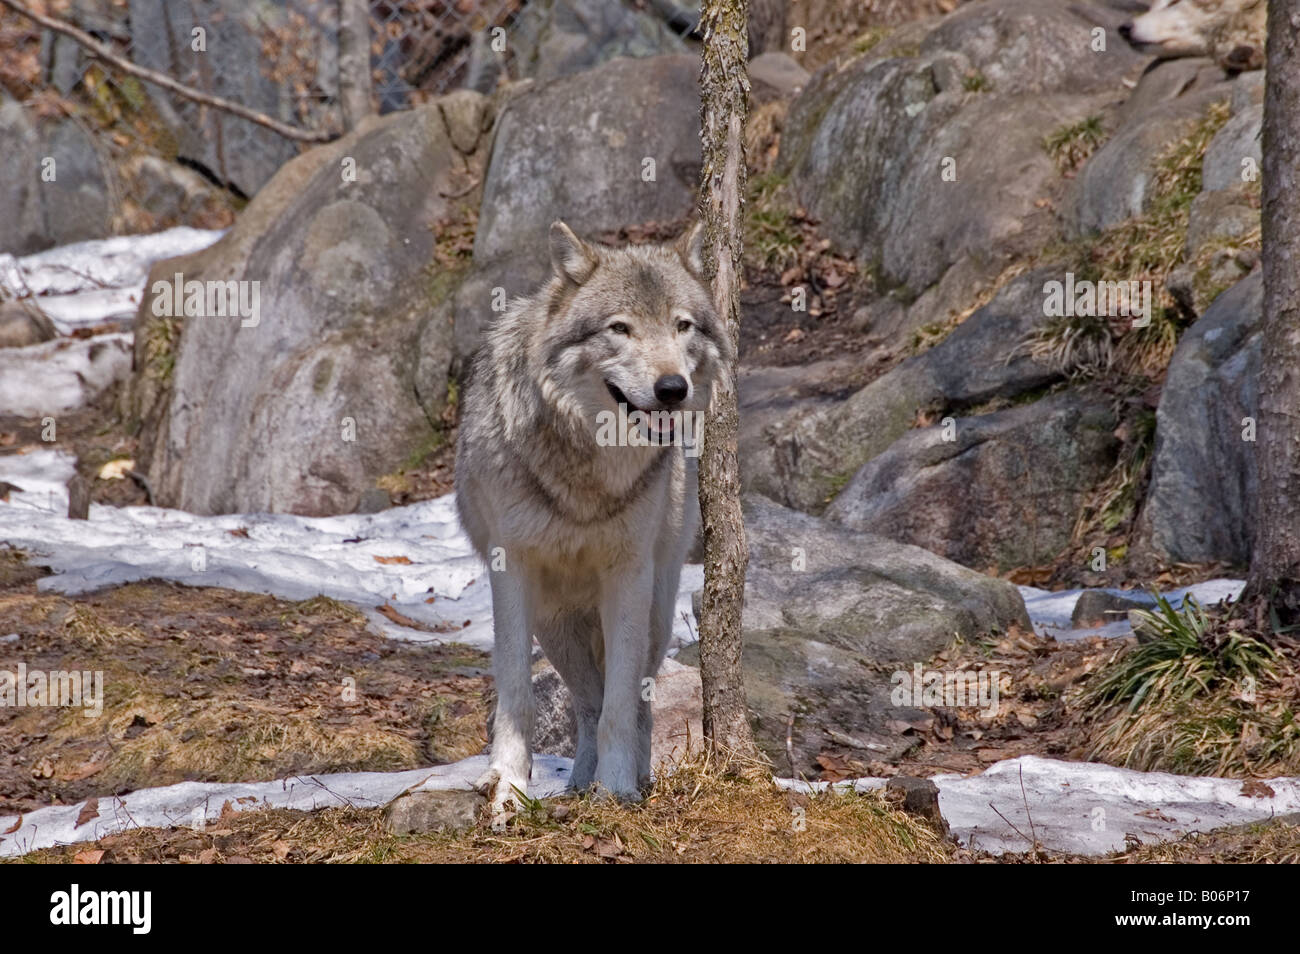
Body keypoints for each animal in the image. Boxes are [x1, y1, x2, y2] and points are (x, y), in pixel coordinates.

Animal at [455, 220, 729, 812]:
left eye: (682, 325)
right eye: (619, 328)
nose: (672, 388)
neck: (587, 478)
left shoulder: (628, 576)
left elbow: (621, 706)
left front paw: (618, 788)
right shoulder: (513, 571)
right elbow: (518, 692)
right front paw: (508, 785)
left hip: (655, 609)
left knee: (632, 702)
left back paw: (625, 781)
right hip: (555, 623)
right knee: (584, 700)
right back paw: (579, 782)